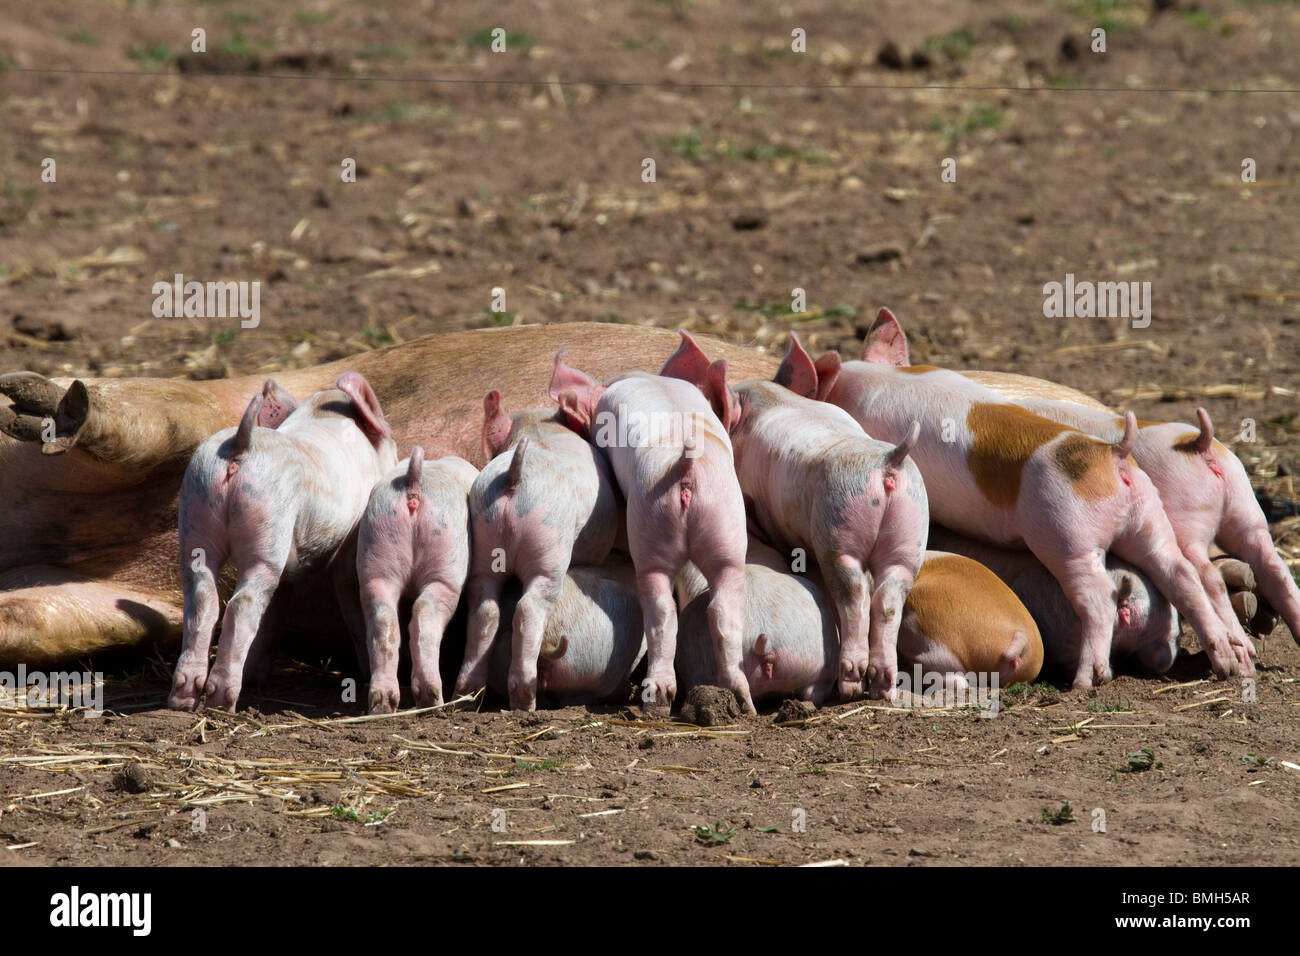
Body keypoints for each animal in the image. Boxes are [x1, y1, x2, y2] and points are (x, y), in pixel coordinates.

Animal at [168, 373, 399, 711]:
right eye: (393, 441)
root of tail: (240, 445)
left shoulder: (289, 567)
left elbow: (274, 614)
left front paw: (256, 678)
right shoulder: (348, 544)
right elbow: (349, 595)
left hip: (196, 513)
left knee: (203, 598)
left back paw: (183, 699)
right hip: (266, 527)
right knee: (241, 604)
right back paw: (223, 701)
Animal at [355, 447, 477, 713]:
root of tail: (414, 484)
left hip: (376, 556)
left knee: (383, 619)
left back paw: (382, 705)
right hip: (446, 563)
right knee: (425, 611)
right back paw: (433, 701)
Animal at [453, 390, 621, 711]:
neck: (536, 426)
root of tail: (514, 476)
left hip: (483, 538)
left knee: (485, 608)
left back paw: (465, 698)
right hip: (550, 544)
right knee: (529, 606)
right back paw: (524, 702)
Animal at [547, 337, 753, 713]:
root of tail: (685, 467)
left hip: (650, 526)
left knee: (661, 611)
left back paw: (655, 701)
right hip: (726, 526)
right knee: (724, 612)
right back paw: (743, 702)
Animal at [724, 335, 928, 699]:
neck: (769, 399)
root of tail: (890, 460)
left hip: (837, 531)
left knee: (855, 592)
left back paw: (850, 685)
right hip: (911, 534)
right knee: (889, 598)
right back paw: (883, 687)